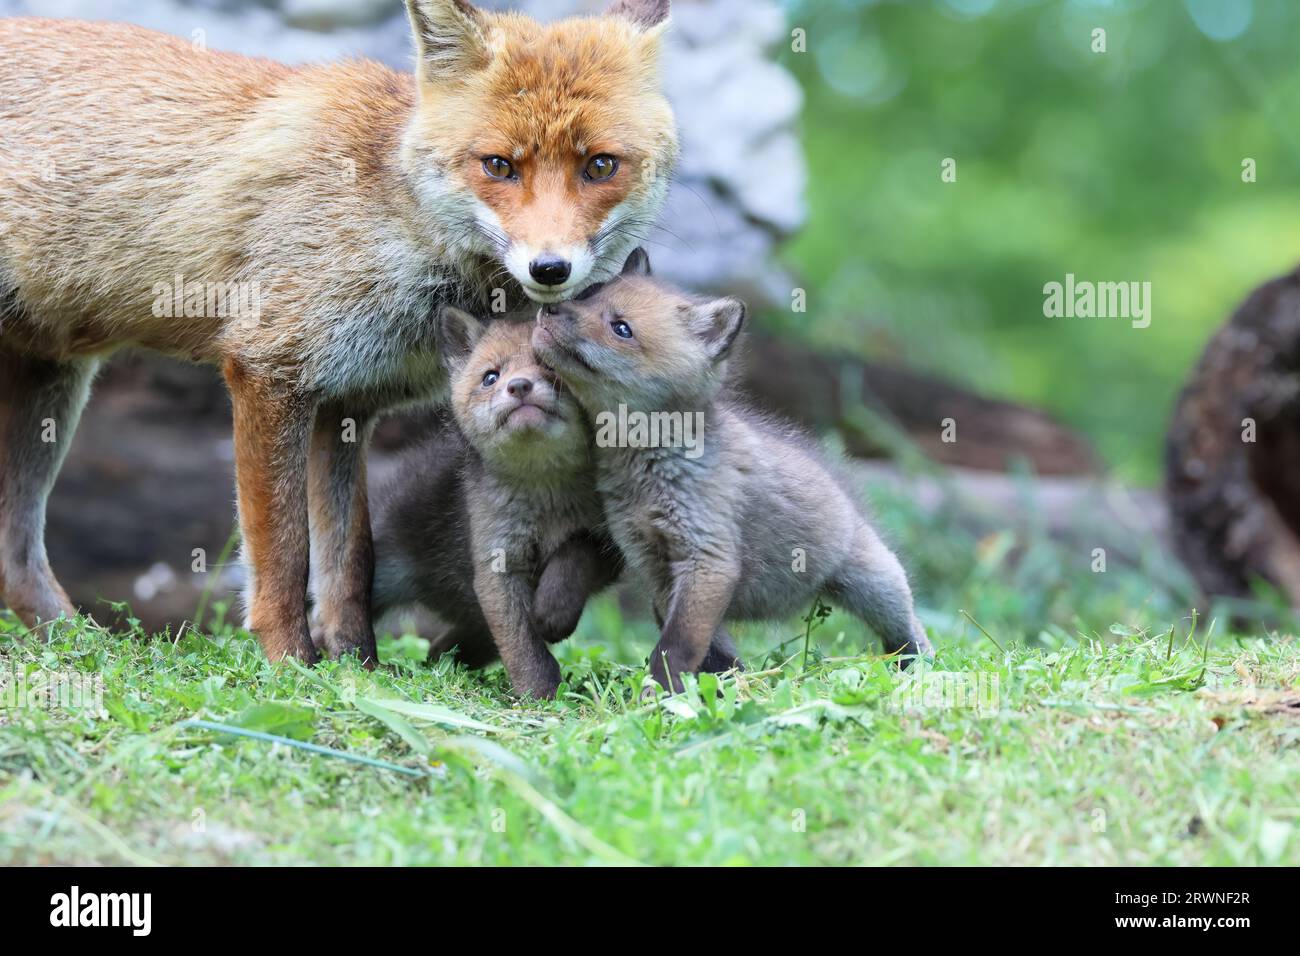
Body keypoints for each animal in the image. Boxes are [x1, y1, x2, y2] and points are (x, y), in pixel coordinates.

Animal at [0, 0, 678, 665]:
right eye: (499, 166)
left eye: (600, 166)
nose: (550, 268)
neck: (396, 221)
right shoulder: (269, 369)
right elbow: (283, 554)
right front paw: (288, 664)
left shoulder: (347, 404)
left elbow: (350, 561)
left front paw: (357, 665)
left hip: (50, 387)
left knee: (14, 556)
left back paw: (77, 647)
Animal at [370, 310, 741, 697]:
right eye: (491, 376)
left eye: (552, 371)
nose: (519, 386)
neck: (544, 498)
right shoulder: (496, 566)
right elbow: (523, 647)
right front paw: (540, 694)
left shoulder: (608, 545)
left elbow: (574, 556)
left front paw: (551, 612)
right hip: (385, 575)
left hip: (475, 629)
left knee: (441, 651)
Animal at [532, 249, 934, 693]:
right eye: (586, 295)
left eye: (621, 328)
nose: (549, 308)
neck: (648, 468)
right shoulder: (657, 567)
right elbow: (696, 645)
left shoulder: (709, 559)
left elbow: (675, 645)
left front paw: (660, 692)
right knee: (727, 653)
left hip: (876, 585)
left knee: (909, 628)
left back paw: (919, 665)